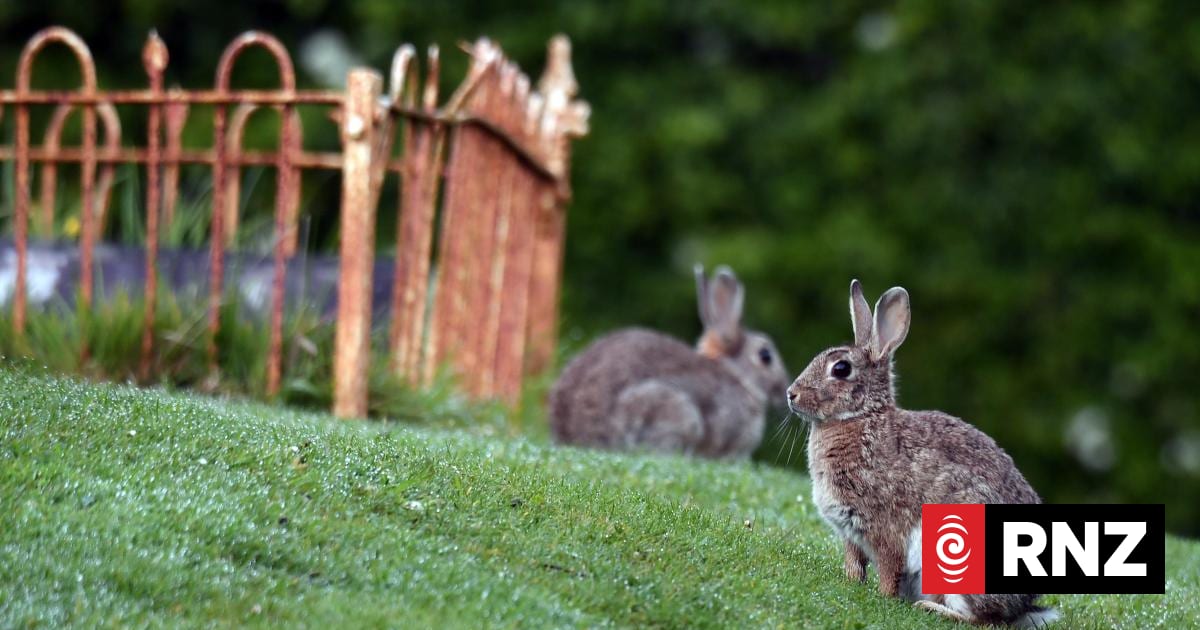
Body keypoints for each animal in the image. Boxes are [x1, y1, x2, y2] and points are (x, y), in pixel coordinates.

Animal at [786, 280, 1058, 628]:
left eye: (841, 369)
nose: (790, 394)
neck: (861, 417)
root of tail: (1022, 608)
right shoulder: (851, 534)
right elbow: (854, 566)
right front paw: (851, 585)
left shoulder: (885, 527)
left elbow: (889, 569)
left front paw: (884, 598)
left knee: (983, 619)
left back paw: (930, 609)